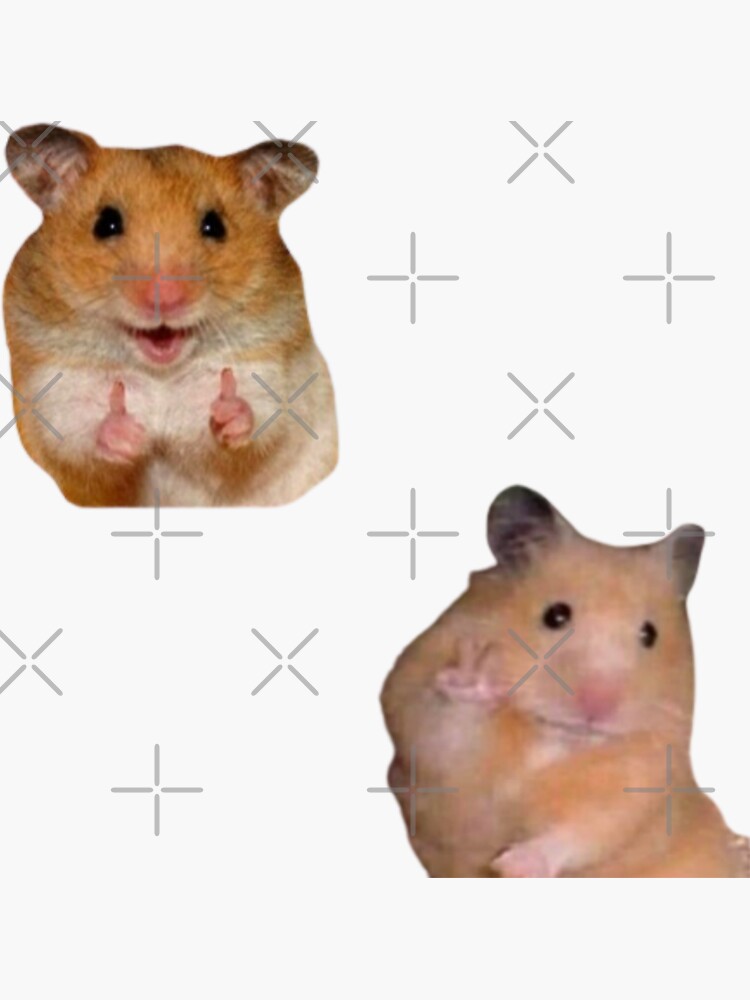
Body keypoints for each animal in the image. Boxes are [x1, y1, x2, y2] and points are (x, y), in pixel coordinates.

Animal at [3, 124, 337, 507]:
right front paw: (130, 435)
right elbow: (76, 434)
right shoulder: (54, 389)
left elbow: (261, 416)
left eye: (214, 225)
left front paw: (226, 410)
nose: (165, 299)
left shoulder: (271, 370)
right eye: (106, 223)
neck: (159, 372)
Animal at [381, 486, 746, 877]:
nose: (597, 708)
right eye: (555, 616)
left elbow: (584, 830)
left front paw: (512, 867)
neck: (556, 740)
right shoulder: (421, 742)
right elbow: (449, 730)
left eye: (650, 634)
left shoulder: (640, 784)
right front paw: (475, 671)